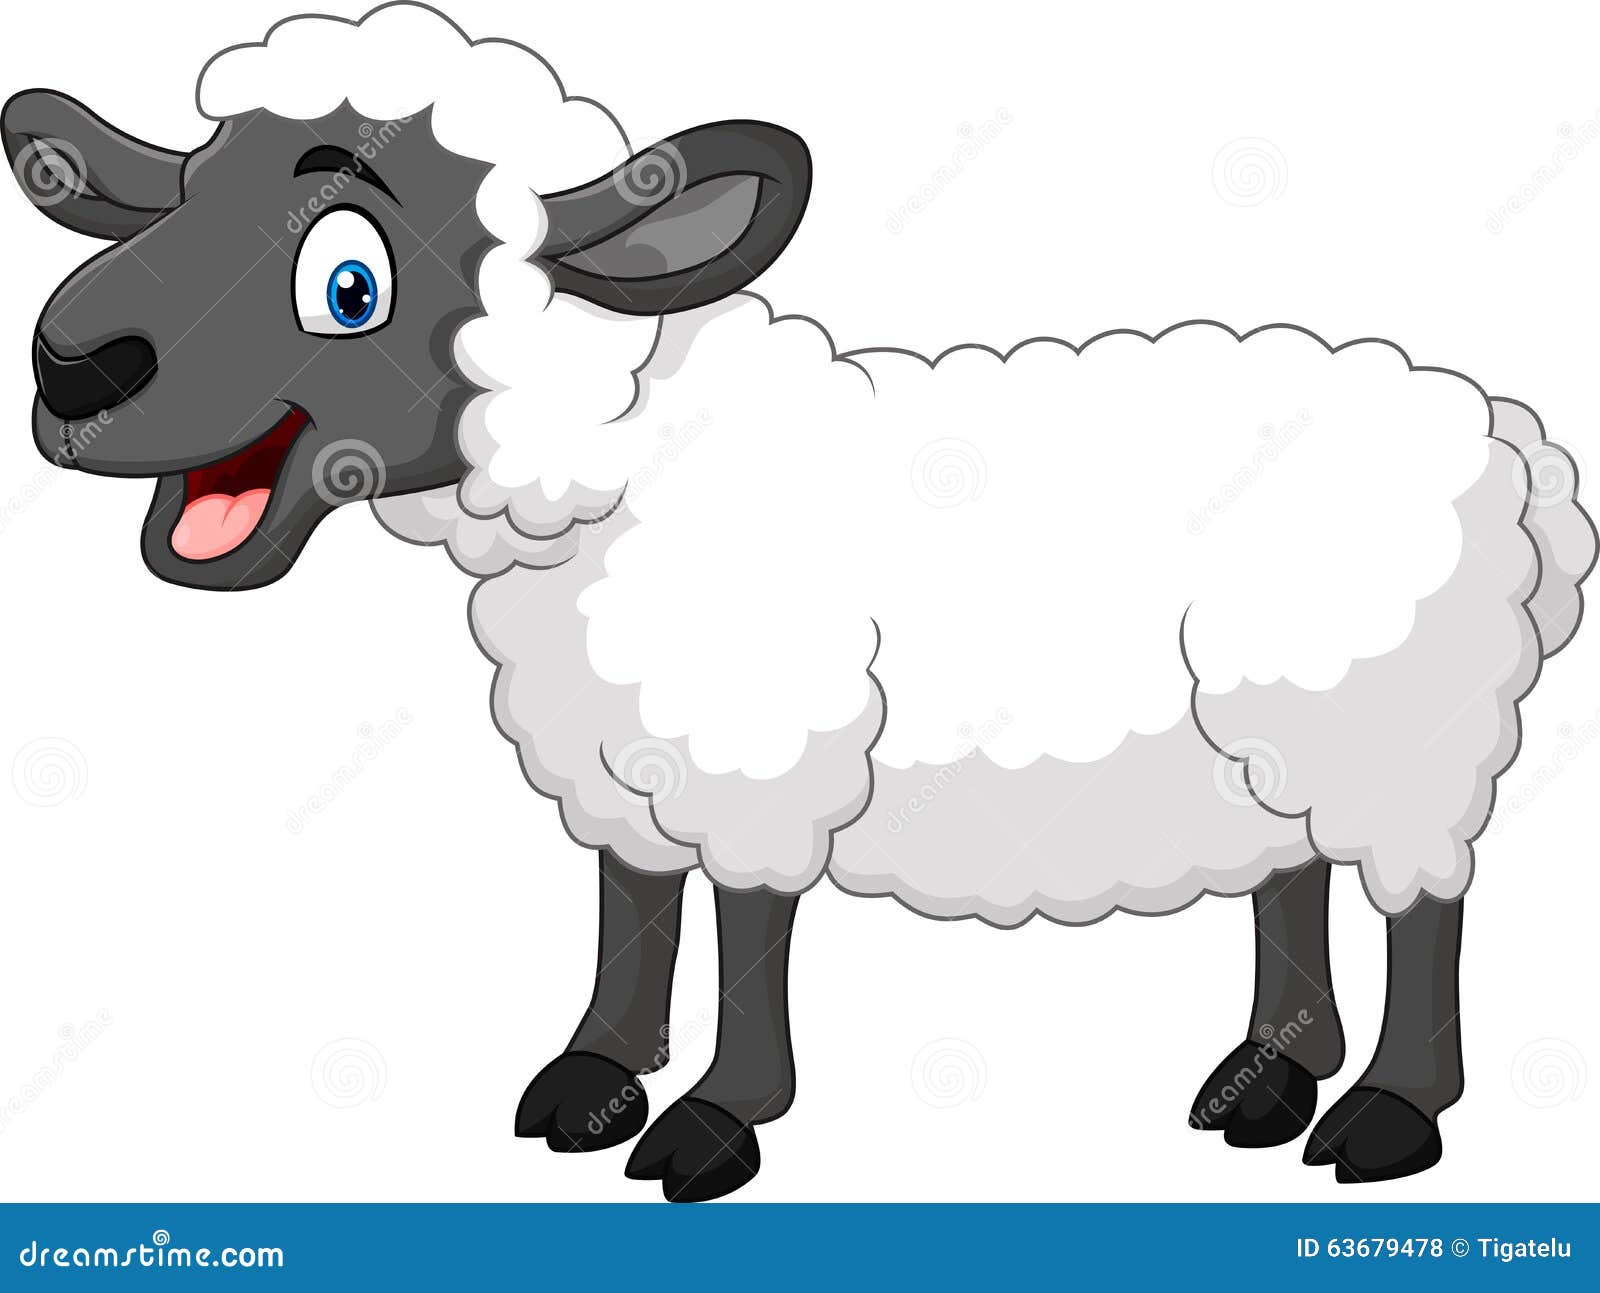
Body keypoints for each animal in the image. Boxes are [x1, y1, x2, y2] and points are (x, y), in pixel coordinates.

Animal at [5, 2, 1595, 1202]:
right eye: (180, 201)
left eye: (349, 281)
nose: (73, 368)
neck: (616, 470)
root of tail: (1493, 431)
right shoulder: (623, 753)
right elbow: (633, 901)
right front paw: (592, 1079)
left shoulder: (761, 744)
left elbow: (749, 927)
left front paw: (715, 1119)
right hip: (1276, 729)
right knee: (1290, 876)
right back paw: (1268, 1080)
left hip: (1391, 729)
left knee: (1420, 904)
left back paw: (1388, 1112)